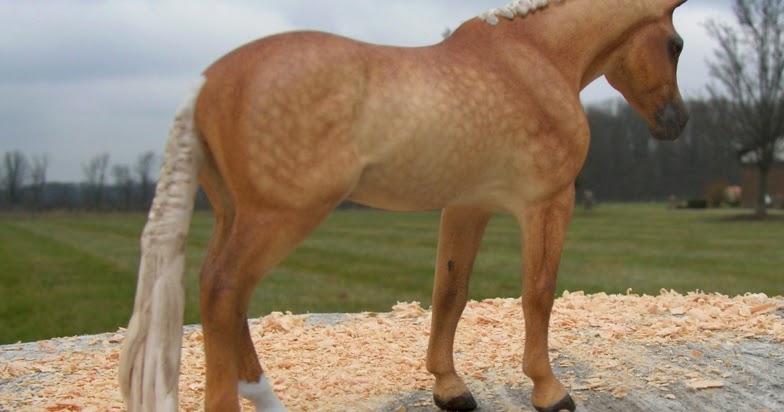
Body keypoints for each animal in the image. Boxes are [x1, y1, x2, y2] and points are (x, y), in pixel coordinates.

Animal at [118, 0, 690, 410]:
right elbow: (539, 294)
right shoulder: (548, 203)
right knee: (223, 291)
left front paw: (450, 388)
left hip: (233, 214)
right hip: (276, 218)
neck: (532, 60)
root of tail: (207, 82)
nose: (676, 121)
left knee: (220, 292)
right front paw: (550, 392)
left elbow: (449, 292)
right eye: (676, 44)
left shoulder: (467, 206)